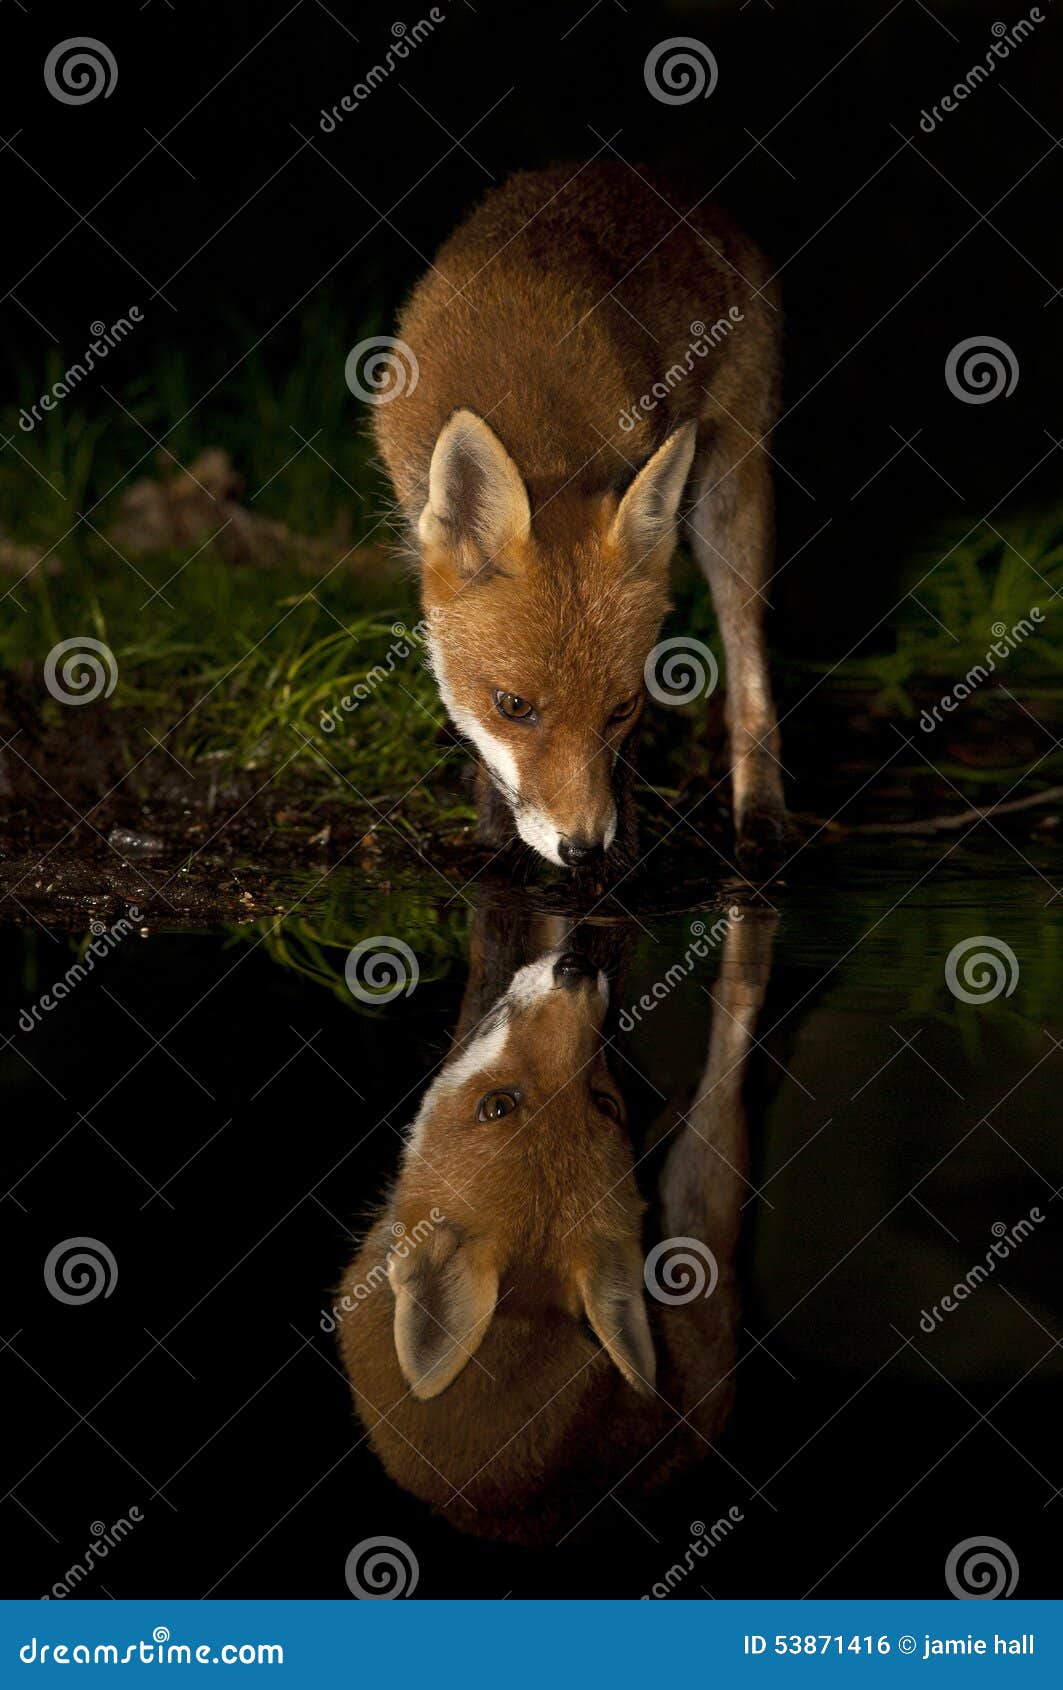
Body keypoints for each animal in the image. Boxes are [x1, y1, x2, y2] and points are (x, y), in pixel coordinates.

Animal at [338, 900, 777, 1544]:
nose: (578, 969)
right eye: (498, 1105)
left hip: (700, 1244)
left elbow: (488, 965)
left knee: (732, 1043)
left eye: (605, 1105)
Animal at [373, 161, 785, 878]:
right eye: (514, 706)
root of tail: (645, 177)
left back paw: (760, 815)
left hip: (730, 491)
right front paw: (494, 830)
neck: (536, 430)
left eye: (621, 708)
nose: (585, 848)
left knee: (748, 676)